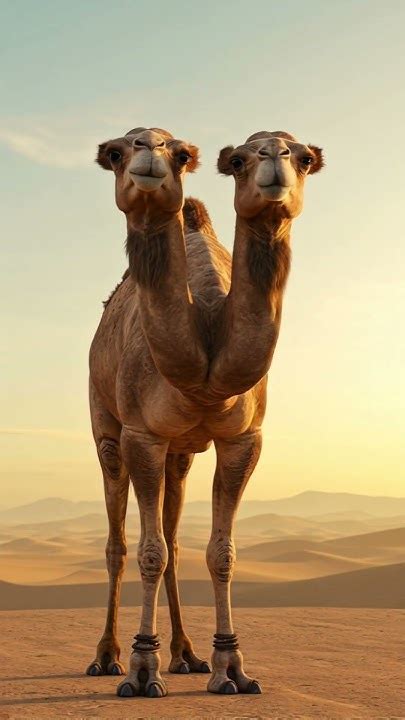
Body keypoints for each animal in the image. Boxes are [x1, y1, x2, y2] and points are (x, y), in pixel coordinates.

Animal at [87, 126, 324, 699]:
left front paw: (230, 667)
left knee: (173, 538)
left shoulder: (243, 440)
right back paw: (106, 656)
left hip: (181, 455)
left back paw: (186, 653)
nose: (274, 157)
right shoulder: (142, 435)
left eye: (305, 157)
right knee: (118, 544)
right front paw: (141, 669)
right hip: (106, 430)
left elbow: (221, 552)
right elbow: (147, 552)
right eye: (115, 153)